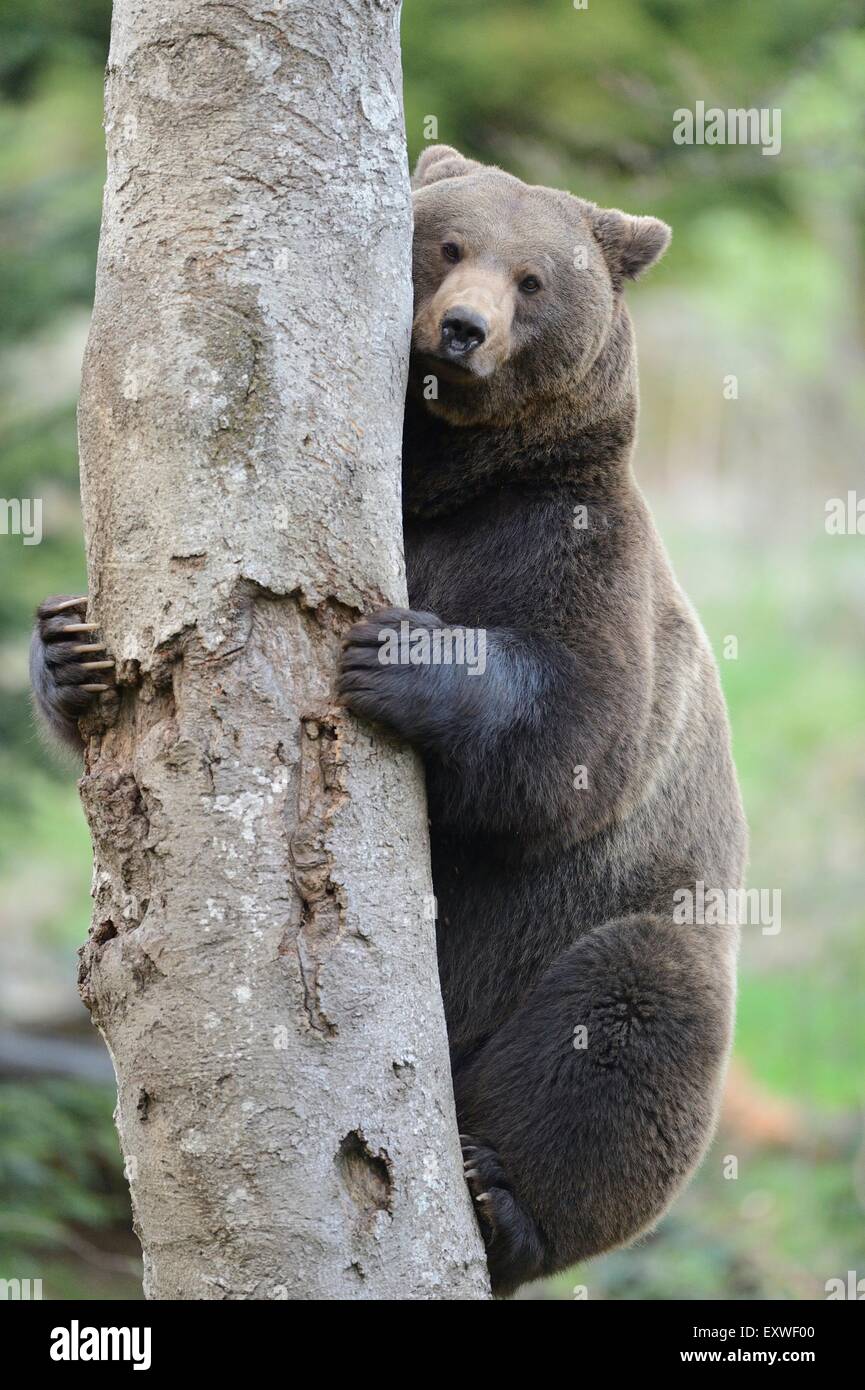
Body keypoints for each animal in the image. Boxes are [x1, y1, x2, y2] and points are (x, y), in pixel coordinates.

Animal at [31, 144, 747, 1299]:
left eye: (533, 280)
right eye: (447, 246)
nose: (461, 330)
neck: (448, 485)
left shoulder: (577, 547)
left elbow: (579, 736)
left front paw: (399, 654)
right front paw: (69, 648)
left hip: (617, 939)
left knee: (633, 1022)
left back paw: (504, 1201)